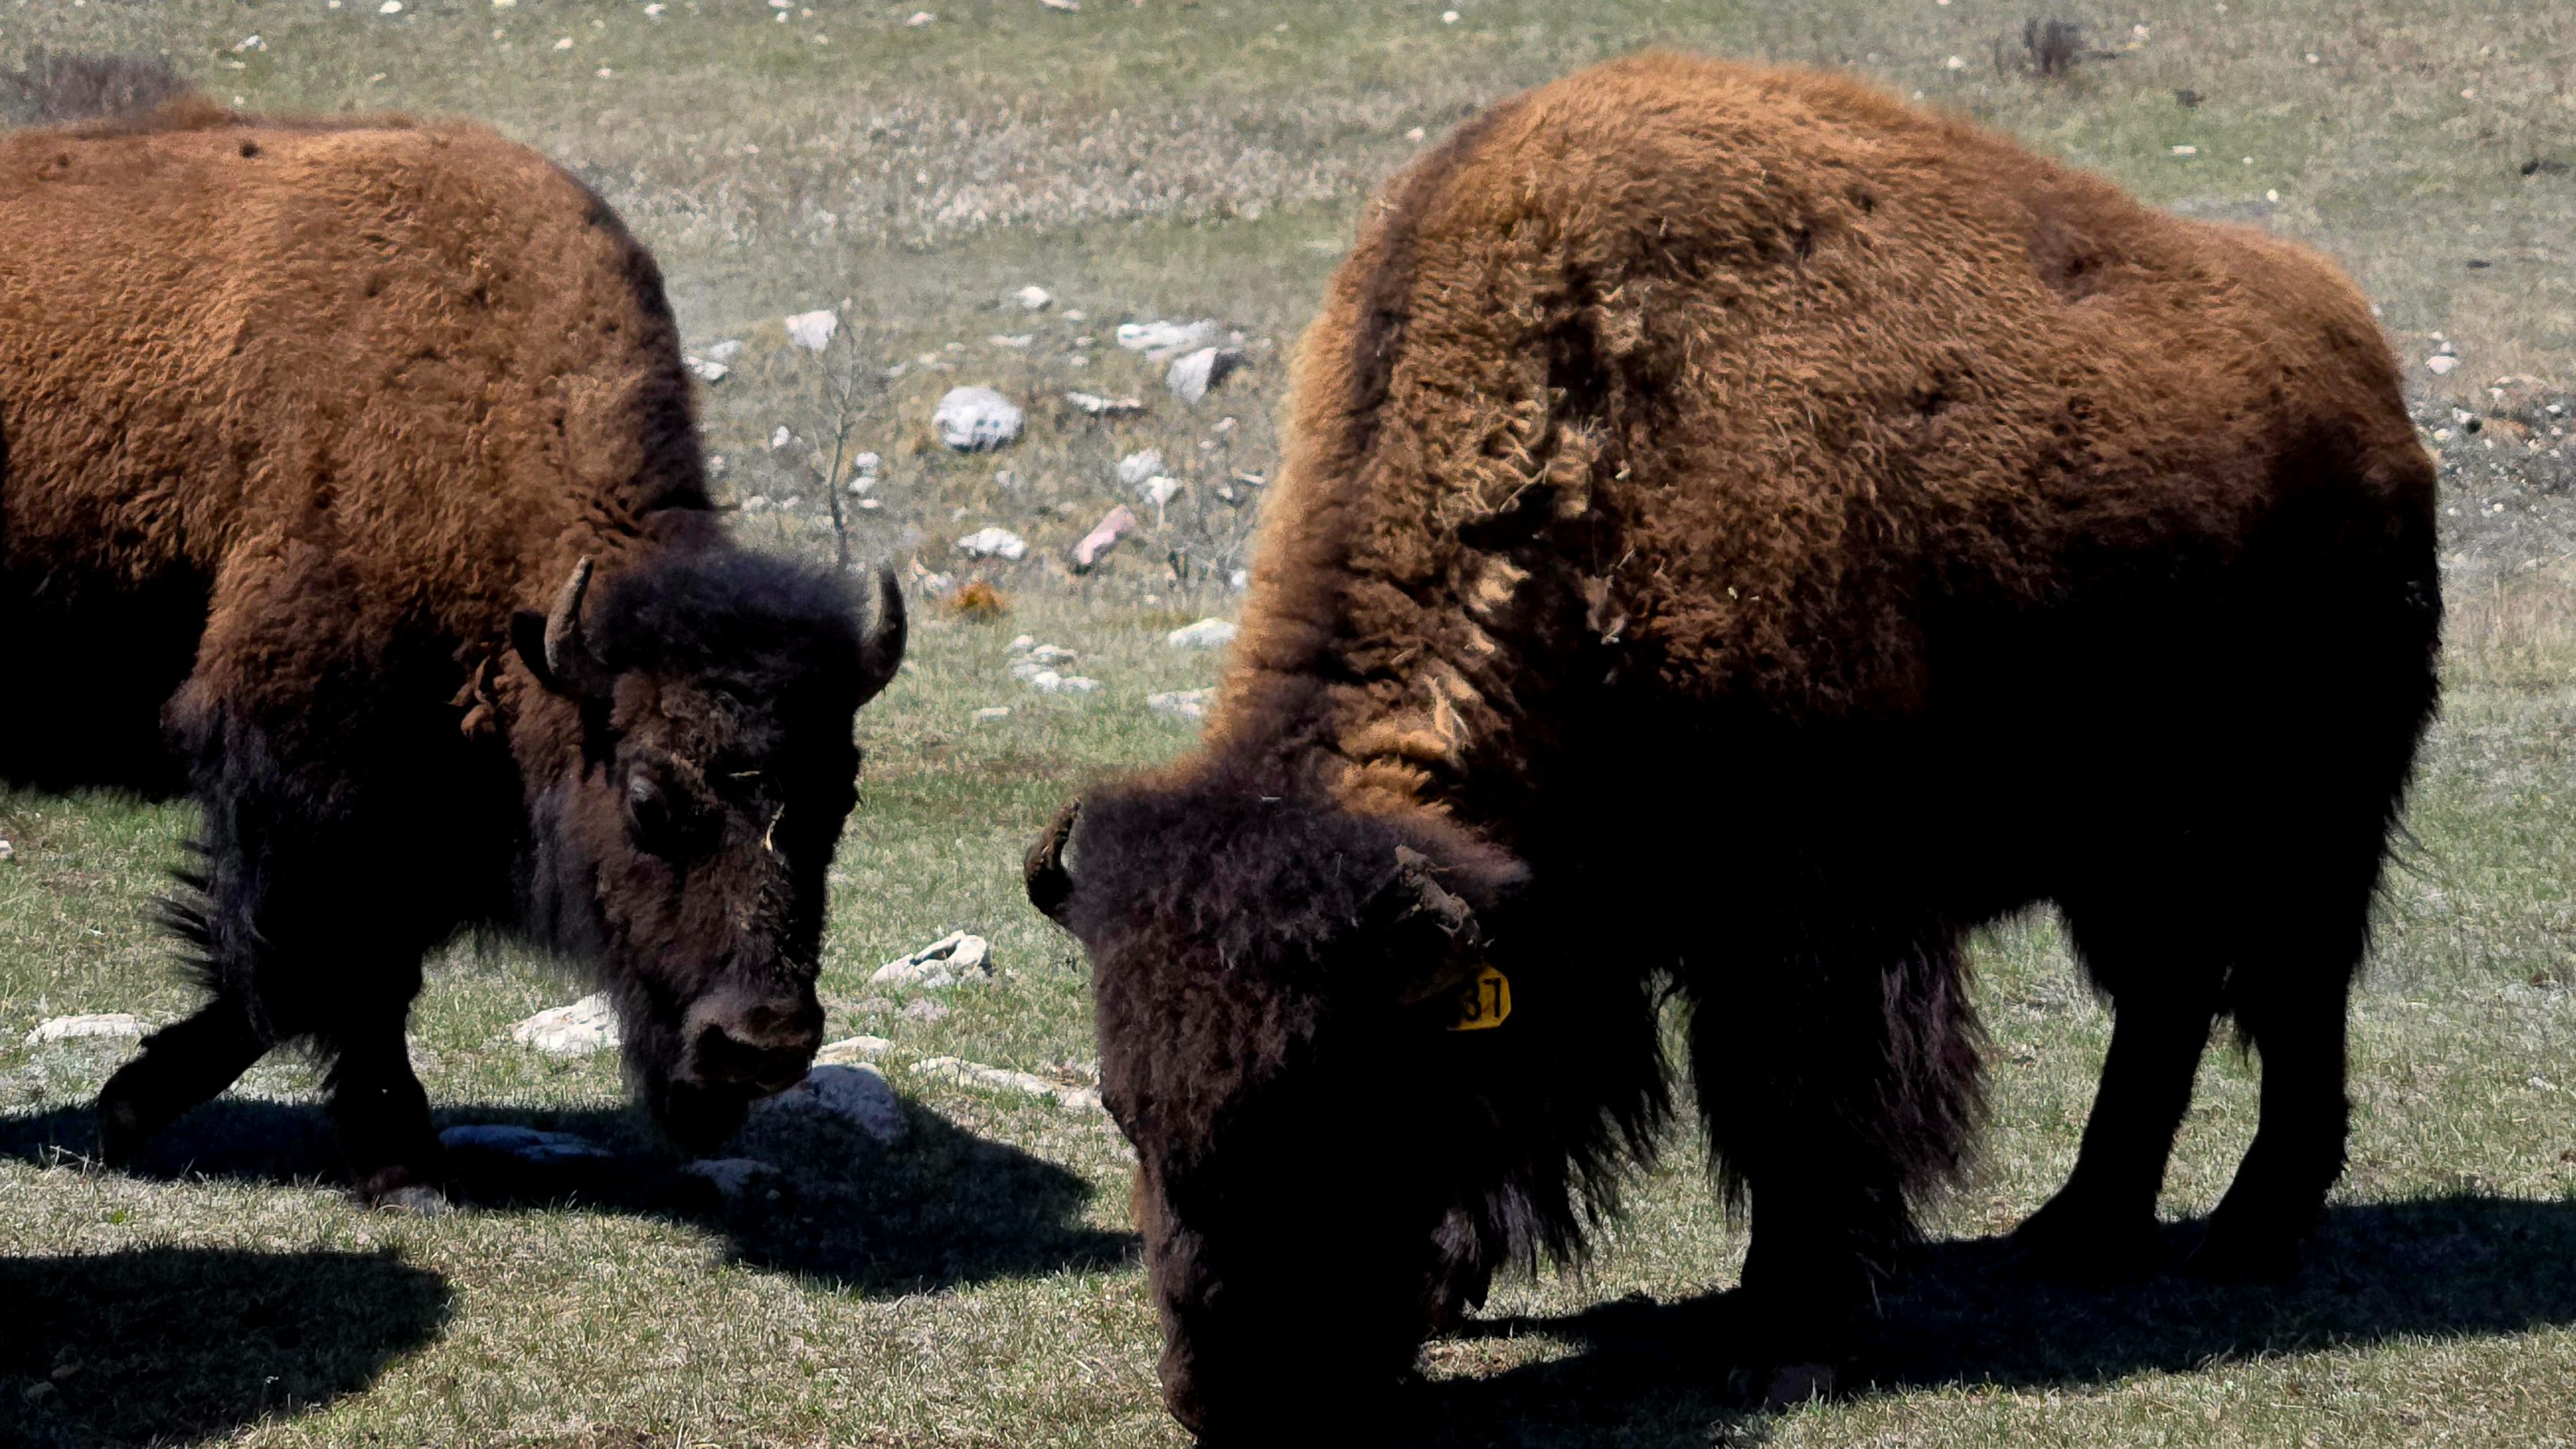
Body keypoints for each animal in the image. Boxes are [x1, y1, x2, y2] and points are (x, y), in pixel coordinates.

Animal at [0, 90, 902, 1208]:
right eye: (648, 800)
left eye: (840, 799)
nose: (760, 1045)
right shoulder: (305, 778)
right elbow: (319, 968)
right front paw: (398, 1167)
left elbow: (327, 975)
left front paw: (130, 1107)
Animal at [1028, 55, 2441, 1438]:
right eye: (1121, 1106)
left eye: (1341, 1092)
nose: (1227, 1401)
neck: (1584, 461)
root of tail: (2363, 375)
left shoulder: (1803, 921)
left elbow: (1789, 1107)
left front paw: (1781, 1342)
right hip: (2127, 844)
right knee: (2169, 1000)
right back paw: (2074, 1232)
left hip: (2311, 814)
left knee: (2293, 997)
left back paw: (2246, 1236)